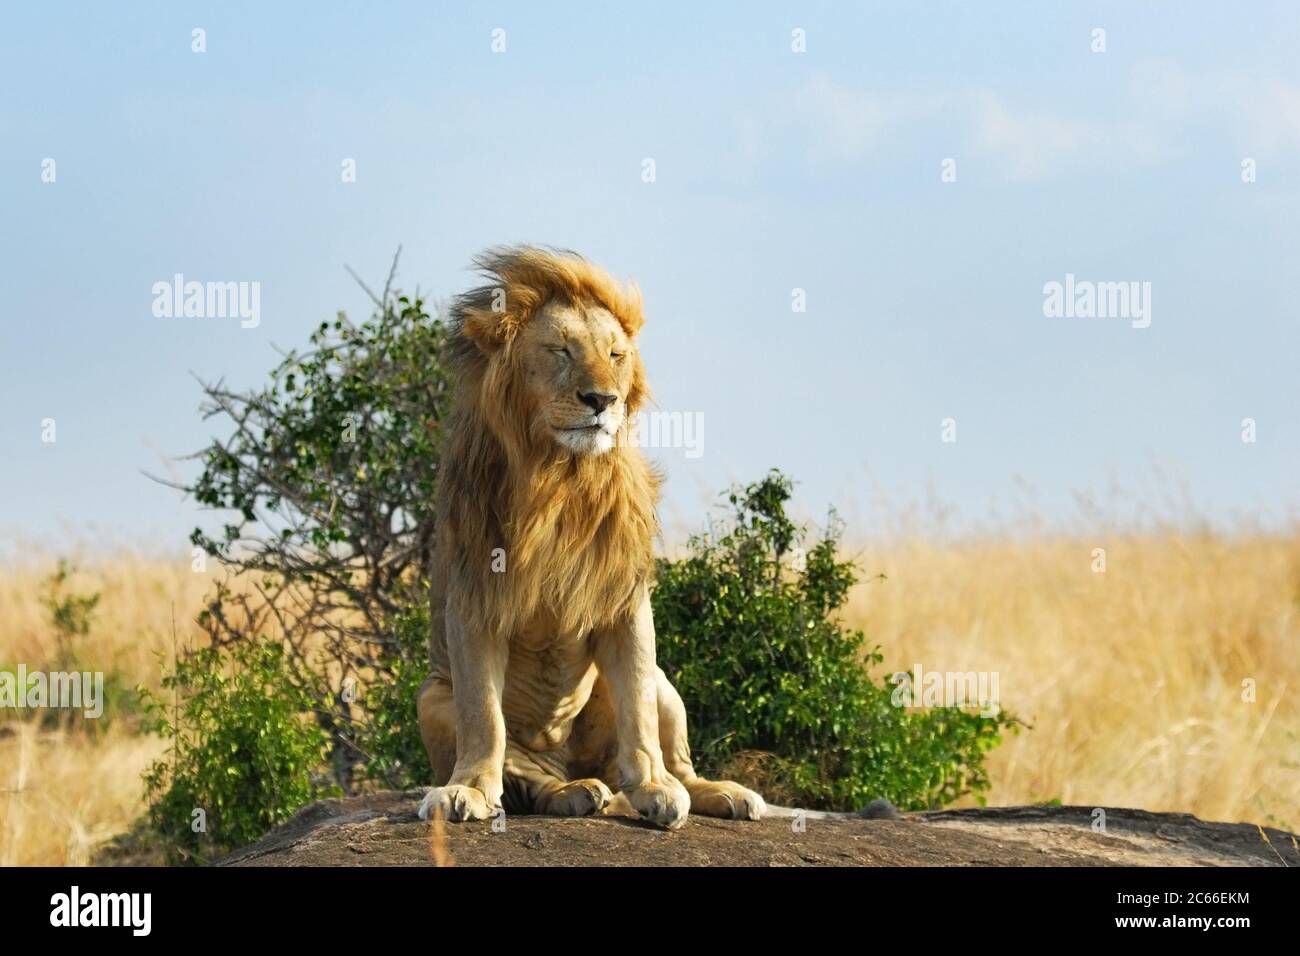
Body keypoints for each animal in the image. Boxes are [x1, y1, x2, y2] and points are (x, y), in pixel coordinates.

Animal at [415, 246, 765, 829]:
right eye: (560, 350)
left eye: (616, 354)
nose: (601, 399)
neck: (559, 479)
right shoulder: (473, 599)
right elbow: (483, 717)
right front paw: (466, 789)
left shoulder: (626, 599)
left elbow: (637, 712)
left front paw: (654, 788)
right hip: (431, 698)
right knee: (529, 782)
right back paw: (573, 793)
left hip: (665, 684)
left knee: (672, 752)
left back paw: (714, 792)